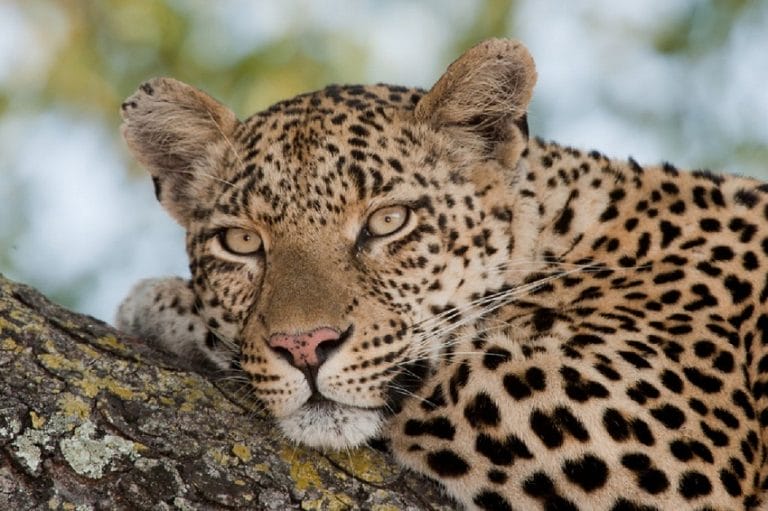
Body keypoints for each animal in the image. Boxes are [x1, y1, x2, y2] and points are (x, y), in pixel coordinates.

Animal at [116, 39, 768, 510]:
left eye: (388, 221)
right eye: (243, 242)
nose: (305, 346)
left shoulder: (647, 427)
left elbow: (443, 363)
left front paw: (160, 304)